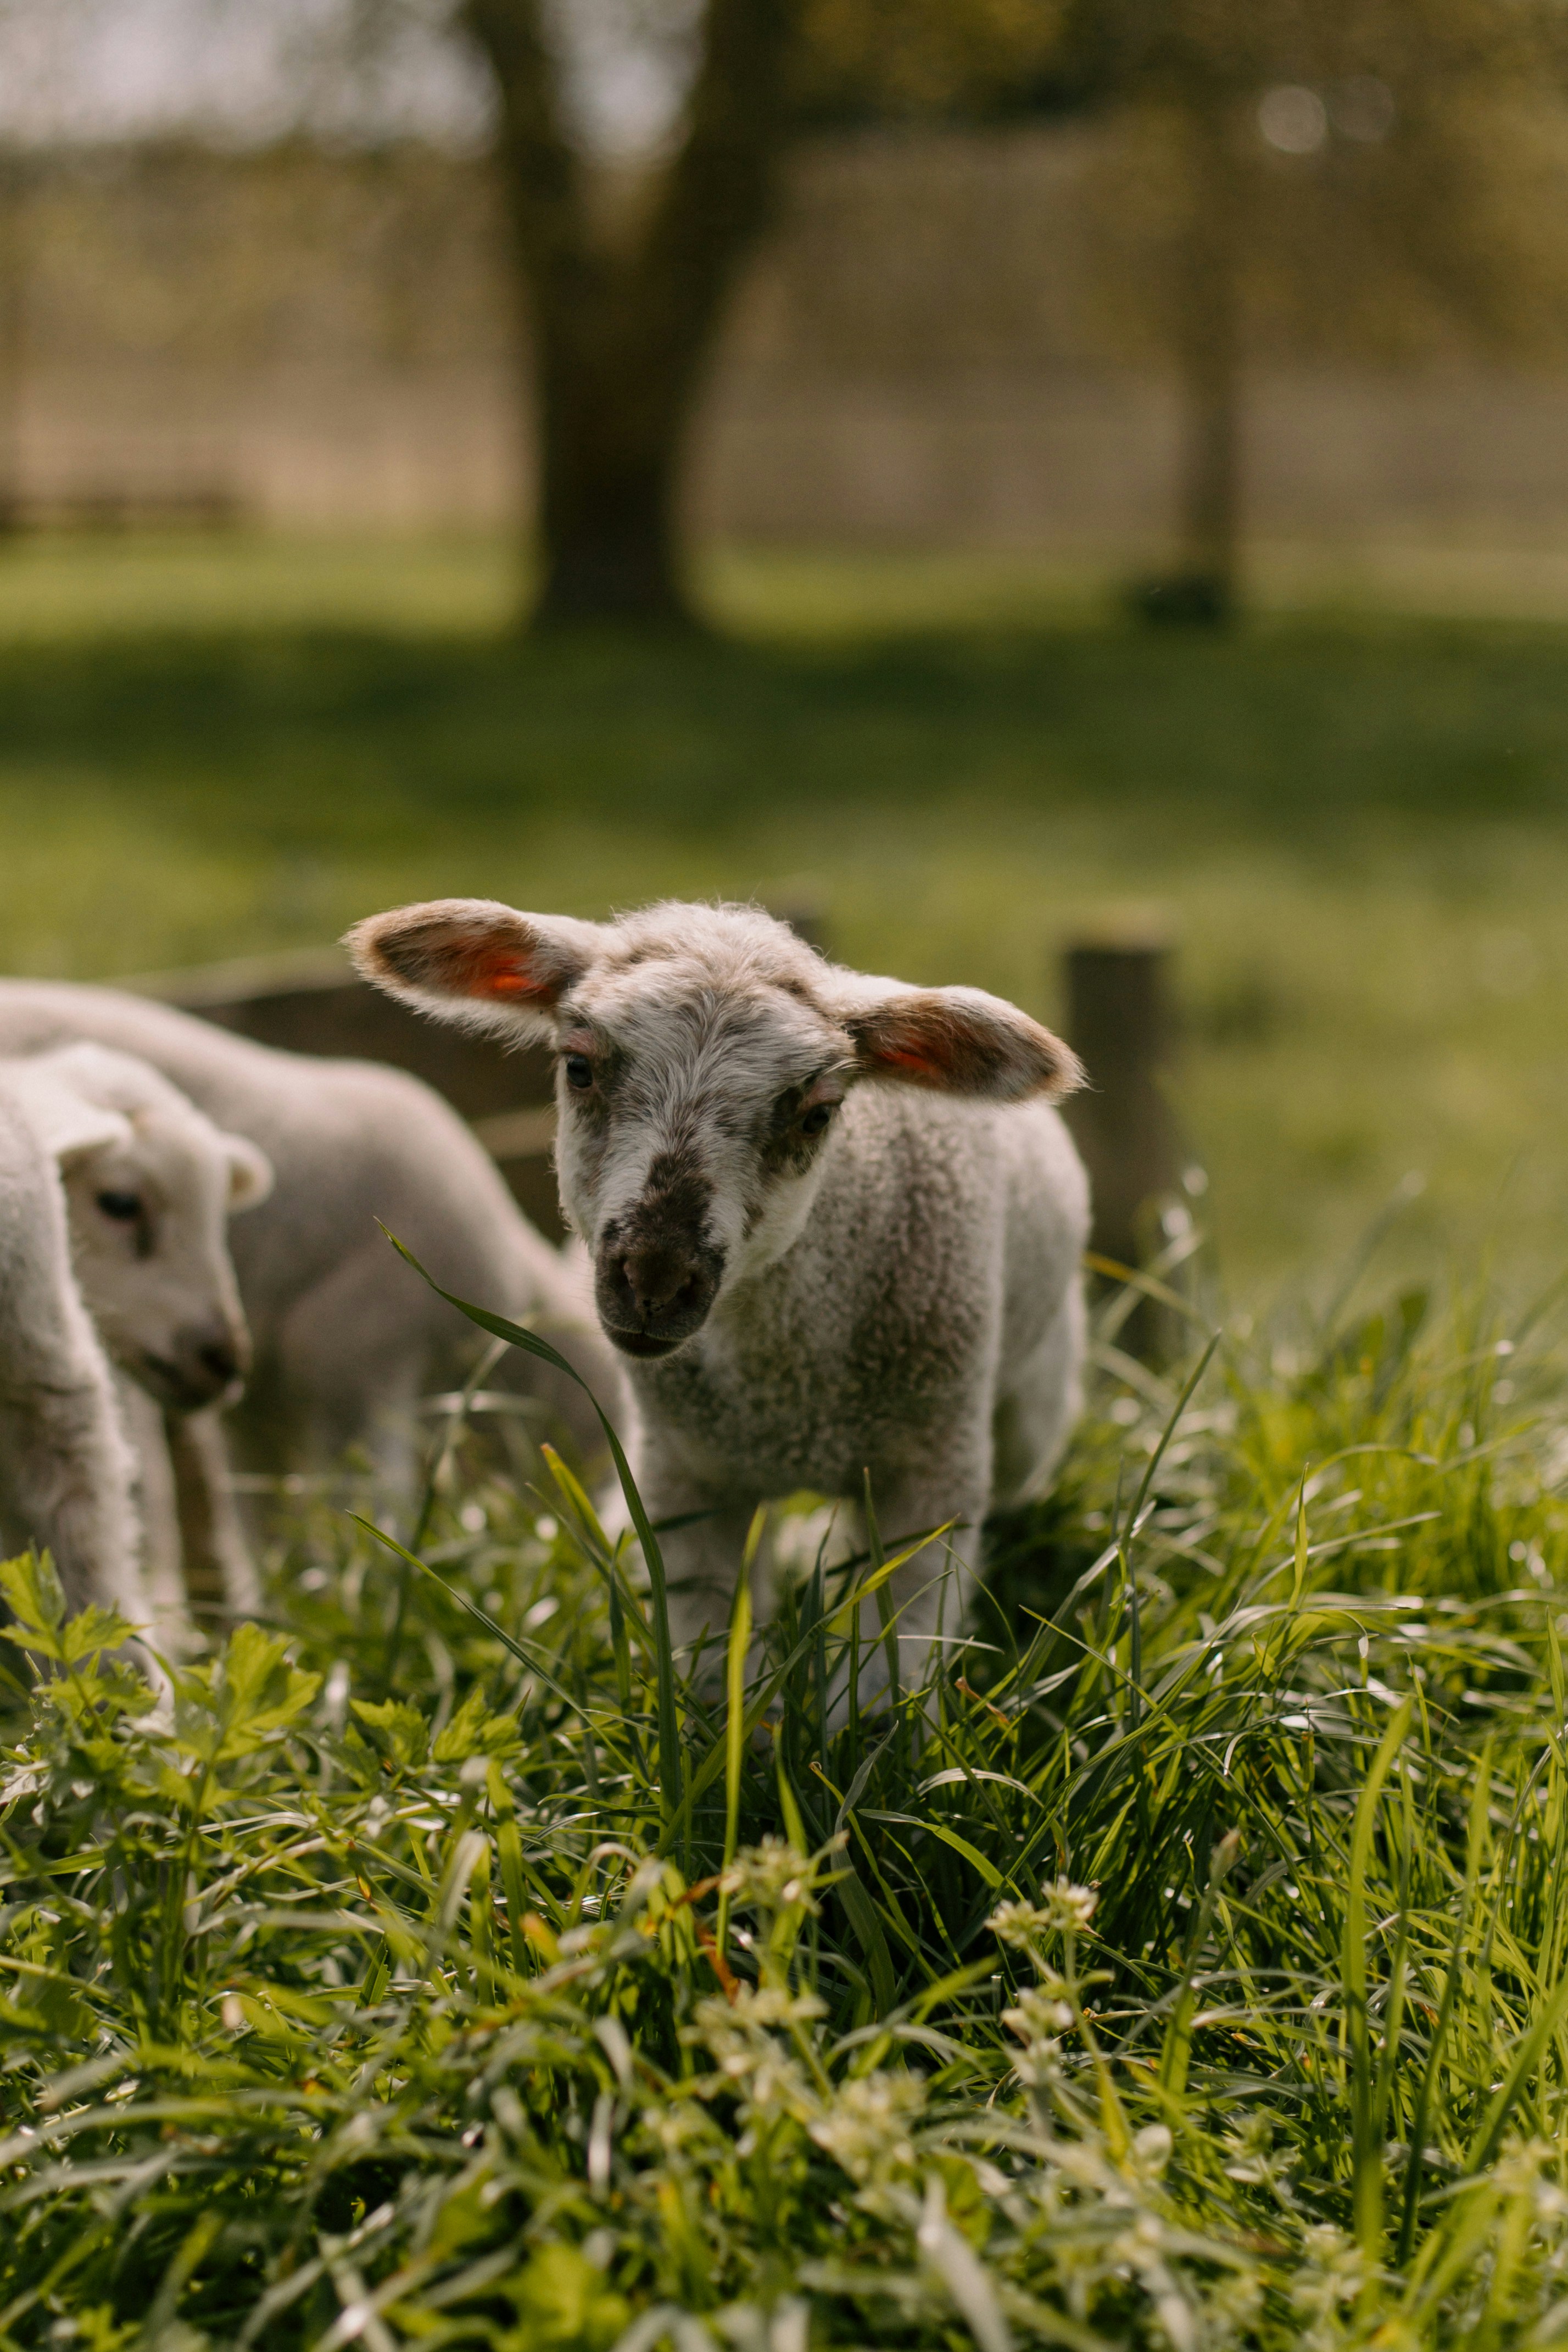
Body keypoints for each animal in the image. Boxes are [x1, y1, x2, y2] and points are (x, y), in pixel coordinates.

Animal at [347, 897, 1091, 1702]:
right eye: (577, 1068)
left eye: (816, 1114)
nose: (654, 1277)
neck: (784, 1401)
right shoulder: (683, 1480)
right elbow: (709, 1670)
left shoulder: (929, 1478)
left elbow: (883, 1676)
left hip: (1028, 1407)